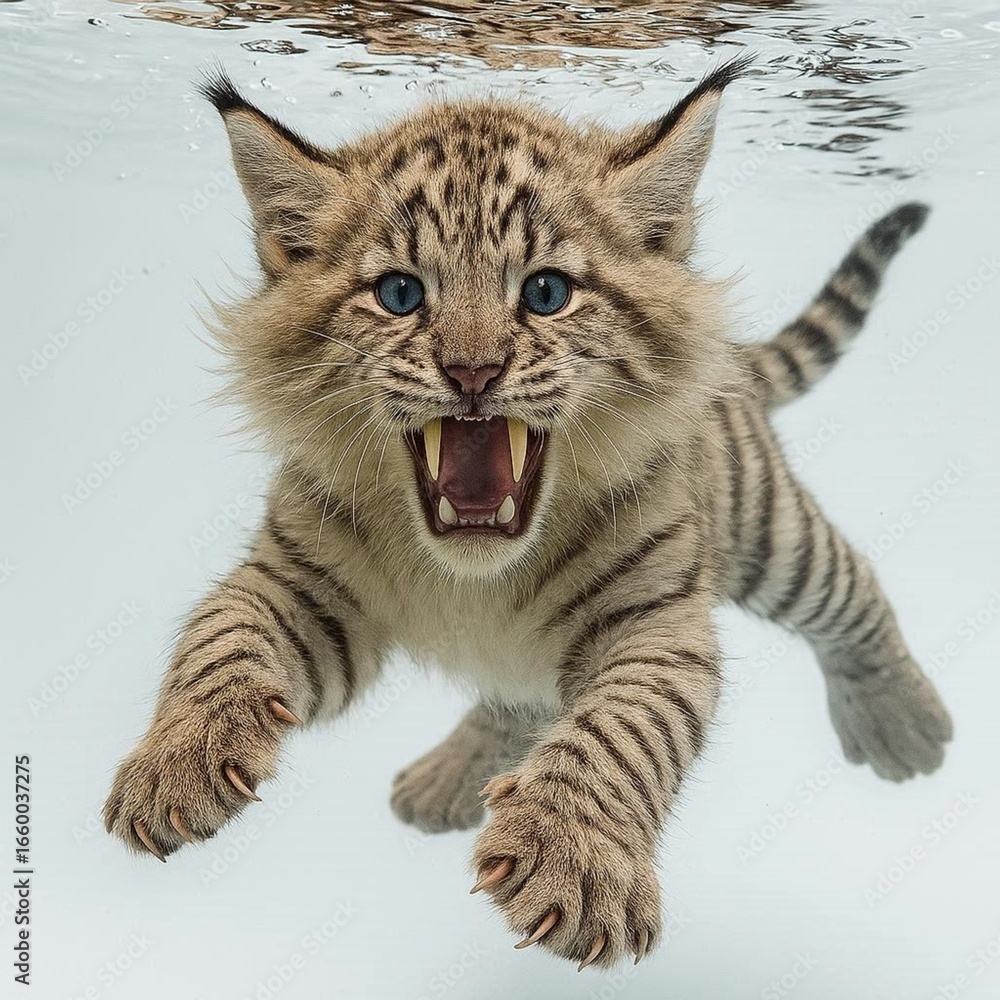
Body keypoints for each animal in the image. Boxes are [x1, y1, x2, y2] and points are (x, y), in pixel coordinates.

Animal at [104, 58, 952, 969]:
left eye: (545, 292)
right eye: (400, 293)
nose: (473, 372)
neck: (475, 576)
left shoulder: (656, 620)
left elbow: (625, 727)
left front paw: (570, 866)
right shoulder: (297, 578)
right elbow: (220, 640)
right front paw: (172, 768)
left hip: (766, 529)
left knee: (850, 584)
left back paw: (907, 728)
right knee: (519, 696)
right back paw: (440, 783)